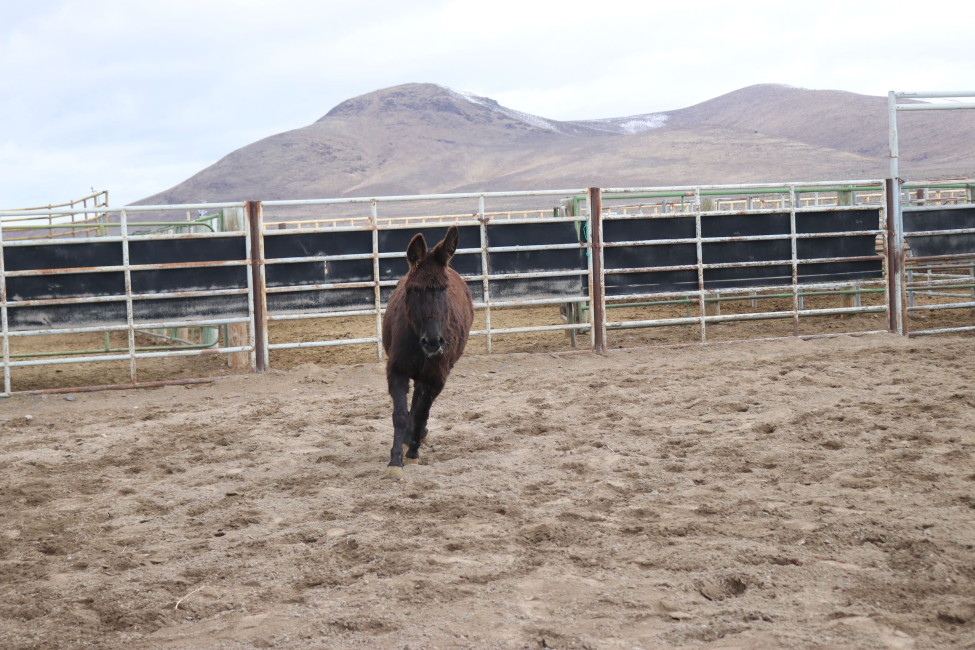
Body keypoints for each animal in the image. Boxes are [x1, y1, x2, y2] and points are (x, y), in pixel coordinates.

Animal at [381, 225, 474, 480]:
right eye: (415, 290)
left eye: (443, 290)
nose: (433, 342)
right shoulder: (397, 369)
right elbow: (400, 415)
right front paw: (395, 461)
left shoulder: (438, 376)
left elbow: (422, 411)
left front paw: (412, 452)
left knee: (421, 402)